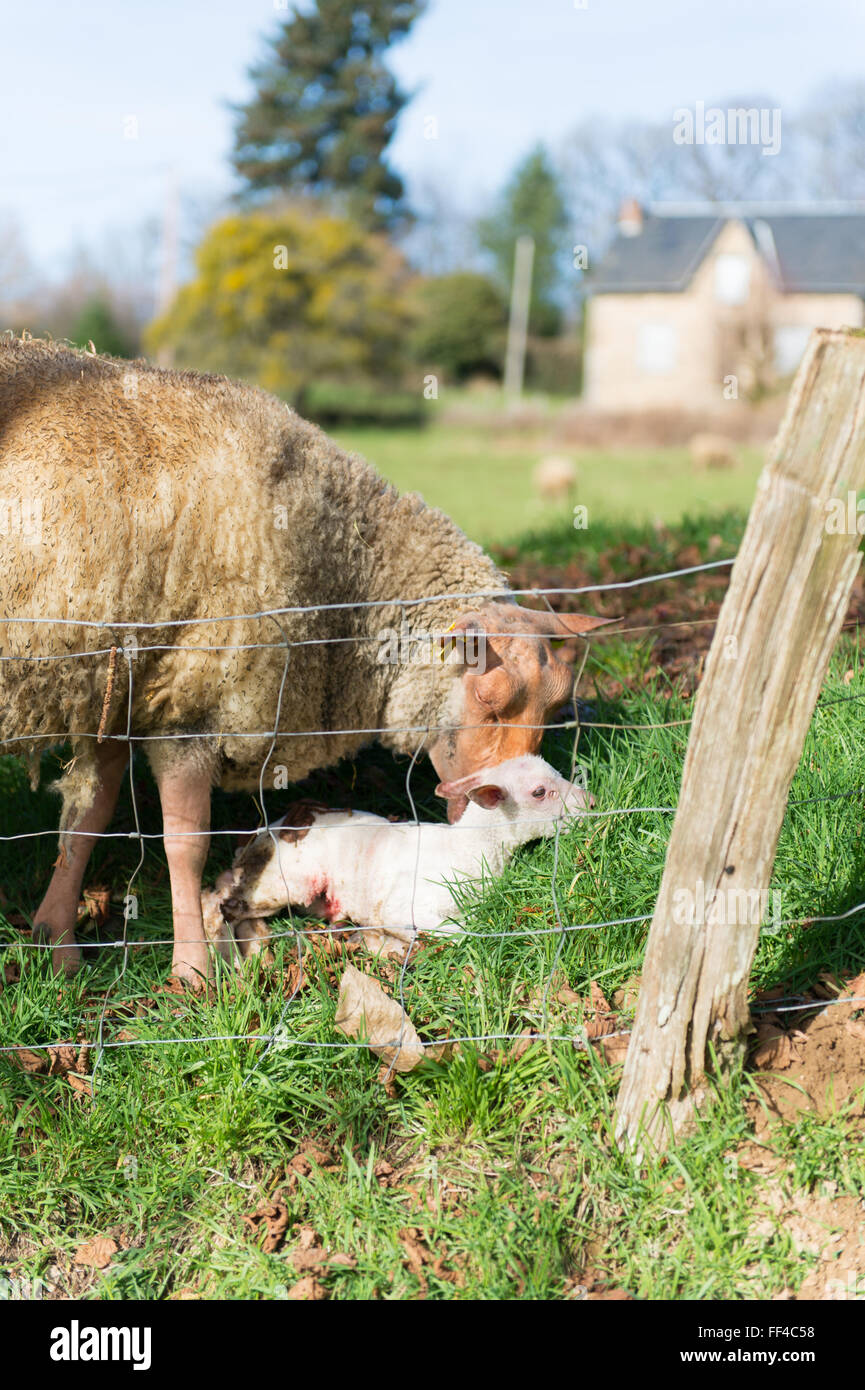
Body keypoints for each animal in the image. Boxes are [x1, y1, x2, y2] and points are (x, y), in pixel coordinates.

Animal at [201, 754, 590, 958]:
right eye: (539, 792)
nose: (592, 802)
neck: (469, 849)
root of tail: (262, 832)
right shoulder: (404, 905)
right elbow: (463, 933)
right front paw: (391, 943)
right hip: (281, 882)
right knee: (220, 901)